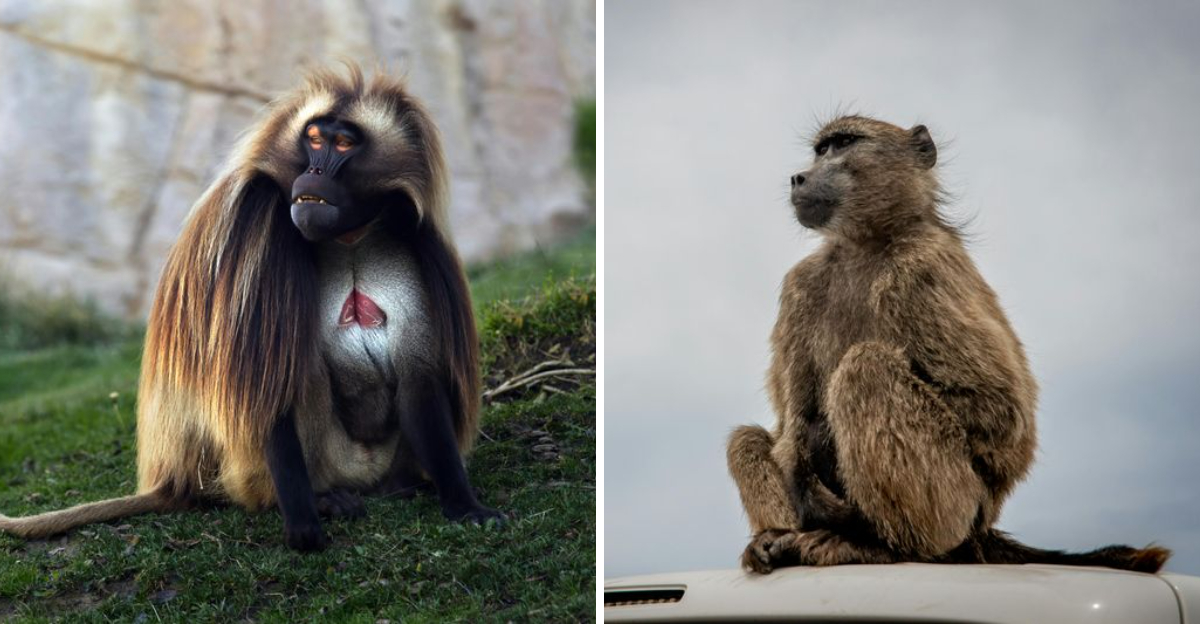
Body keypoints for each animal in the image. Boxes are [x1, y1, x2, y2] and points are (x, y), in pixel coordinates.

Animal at [0, 65, 503, 551]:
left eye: (344, 143)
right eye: (314, 138)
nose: (316, 169)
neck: (349, 238)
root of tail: (173, 480)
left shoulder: (409, 238)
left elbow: (420, 378)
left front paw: (464, 504)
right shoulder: (257, 220)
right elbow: (267, 386)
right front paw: (304, 525)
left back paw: (401, 486)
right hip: (270, 469)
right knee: (294, 372)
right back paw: (323, 500)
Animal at [726, 115, 1170, 574]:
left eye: (844, 143)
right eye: (820, 150)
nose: (799, 177)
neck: (865, 243)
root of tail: (981, 528)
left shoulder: (922, 268)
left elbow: (1002, 413)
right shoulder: (800, 287)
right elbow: (789, 423)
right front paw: (801, 466)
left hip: (957, 505)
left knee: (866, 368)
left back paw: (880, 545)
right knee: (747, 438)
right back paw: (777, 538)